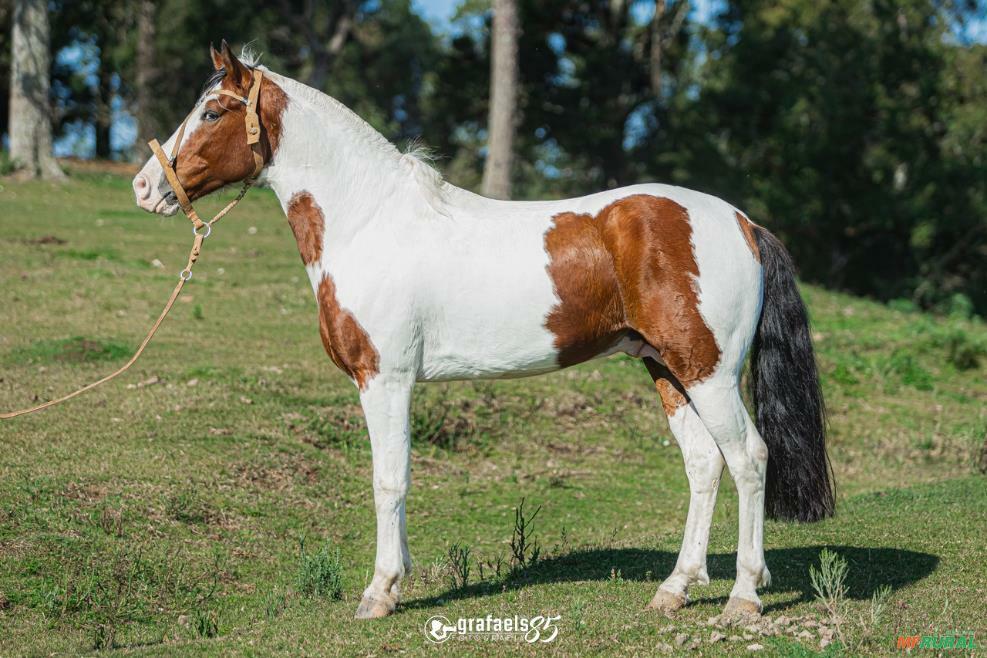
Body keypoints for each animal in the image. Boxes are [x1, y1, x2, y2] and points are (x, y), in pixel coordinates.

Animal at [133, 42, 834, 621]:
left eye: (213, 112)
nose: (145, 186)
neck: (369, 221)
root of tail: (743, 222)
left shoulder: (384, 378)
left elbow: (388, 479)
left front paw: (380, 592)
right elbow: (399, 476)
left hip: (708, 372)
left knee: (748, 458)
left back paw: (743, 597)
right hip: (667, 368)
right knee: (704, 464)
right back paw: (675, 589)